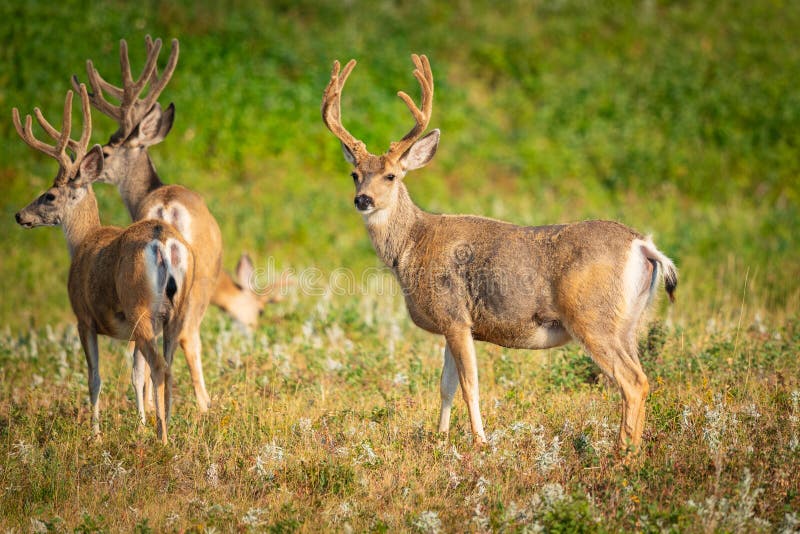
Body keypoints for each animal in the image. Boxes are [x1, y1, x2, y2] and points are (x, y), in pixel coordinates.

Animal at [13, 85, 193, 443]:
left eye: (49, 195)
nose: (19, 215)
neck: (84, 240)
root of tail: (163, 240)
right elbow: (135, 374)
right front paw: (139, 424)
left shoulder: (83, 318)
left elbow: (94, 377)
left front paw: (95, 434)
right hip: (175, 309)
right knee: (166, 365)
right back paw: (166, 427)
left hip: (140, 305)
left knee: (158, 366)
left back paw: (163, 438)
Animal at [321, 54, 678, 452]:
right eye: (354, 174)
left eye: (391, 176)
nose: (363, 200)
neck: (413, 245)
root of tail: (644, 245)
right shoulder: (453, 323)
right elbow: (445, 386)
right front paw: (440, 439)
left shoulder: (455, 316)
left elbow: (469, 385)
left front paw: (480, 442)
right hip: (628, 322)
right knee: (641, 377)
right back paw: (632, 450)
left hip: (592, 316)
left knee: (633, 381)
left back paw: (622, 455)